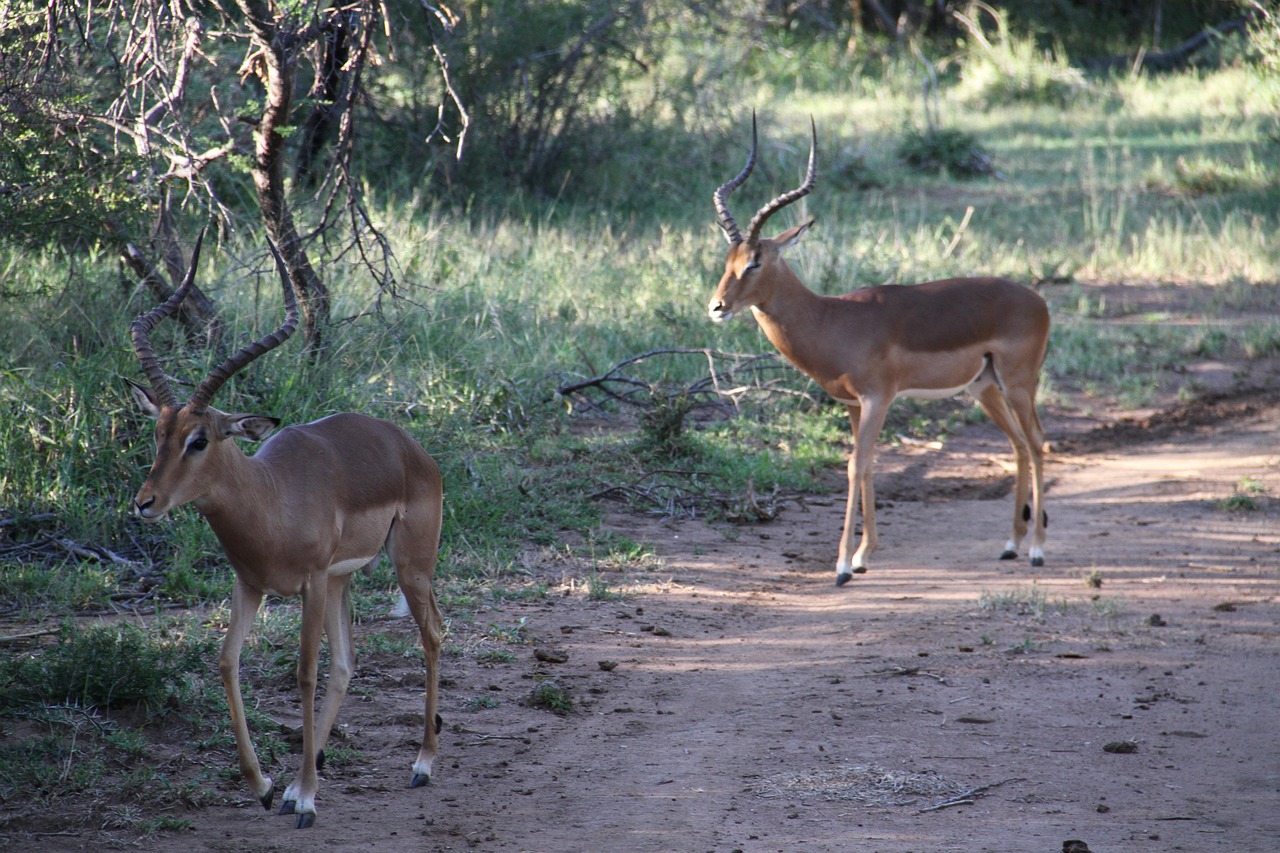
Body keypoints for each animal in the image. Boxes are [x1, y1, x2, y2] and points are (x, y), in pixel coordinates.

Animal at [128, 232, 444, 828]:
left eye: (199, 439)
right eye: (158, 432)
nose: (145, 503)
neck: (271, 498)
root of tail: (409, 445)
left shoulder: (310, 583)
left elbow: (303, 673)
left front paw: (307, 800)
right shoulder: (250, 583)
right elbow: (227, 662)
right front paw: (266, 786)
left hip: (407, 567)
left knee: (431, 634)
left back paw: (421, 765)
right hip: (345, 580)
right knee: (346, 664)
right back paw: (303, 780)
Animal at [708, 117, 1050, 586]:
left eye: (755, 260)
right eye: (728, 259)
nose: (717, 306)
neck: (832, 318)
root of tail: (1038, 300)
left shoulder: (877, 399)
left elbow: (856, 465)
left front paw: (841, 566)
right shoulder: (853, 404)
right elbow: (867, 466)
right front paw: (863, 555)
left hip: (1018, 384)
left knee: (1036, 443)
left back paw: (1036, 550)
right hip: (985, 388)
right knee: (1017, 444)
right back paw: (1011, 544)